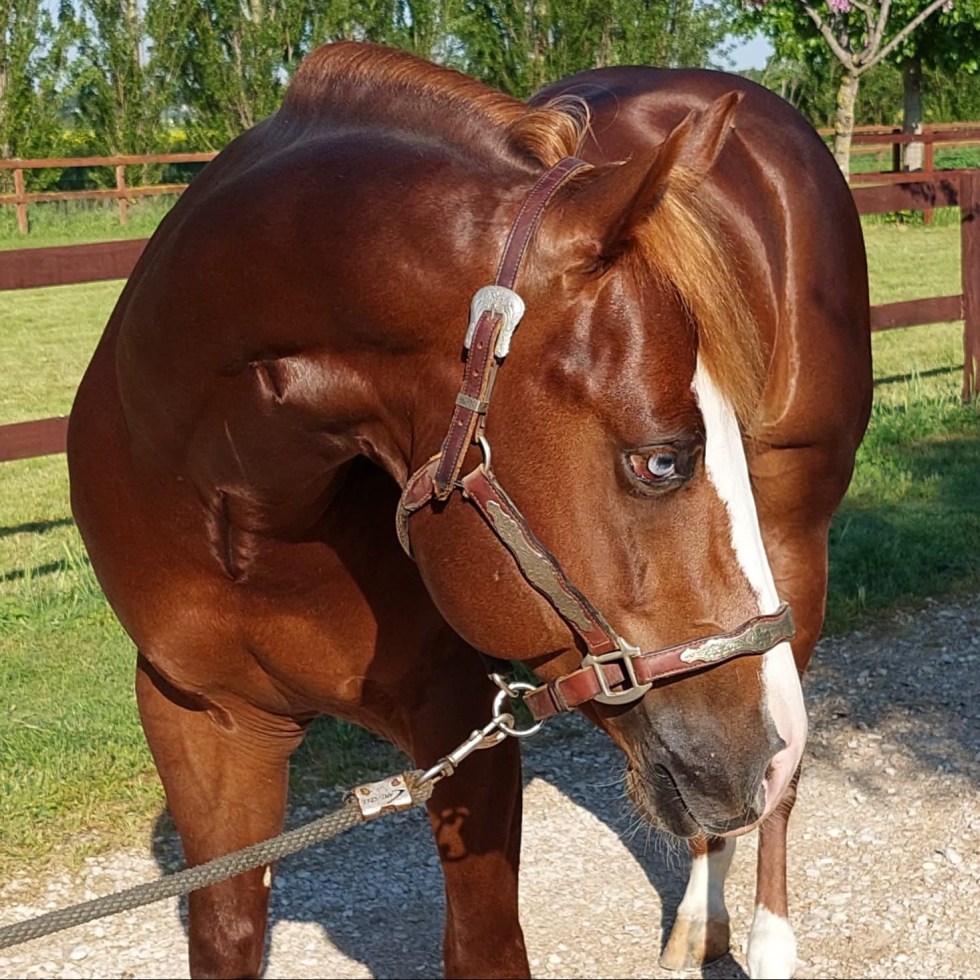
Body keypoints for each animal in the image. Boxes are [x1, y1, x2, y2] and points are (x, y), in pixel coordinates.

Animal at [67, 41, 871, 980]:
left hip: (795, 553)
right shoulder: (204, 726)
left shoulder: (461, 728)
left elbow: (484, 945)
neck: (240, 516)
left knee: (775, 805)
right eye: (661, 459)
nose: (766, 750)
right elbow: (226, 933)